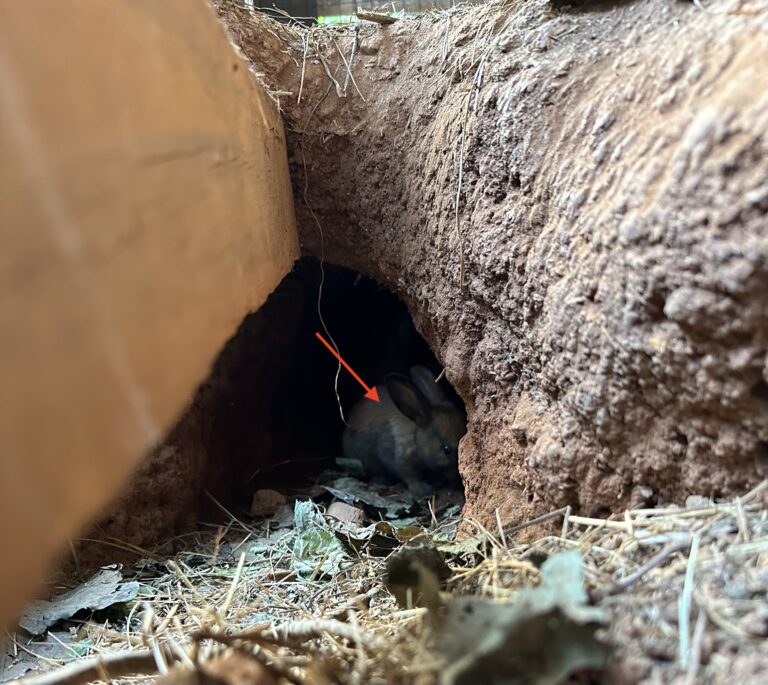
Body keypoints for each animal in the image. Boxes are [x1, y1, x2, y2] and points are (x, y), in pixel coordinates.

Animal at [342, 365, 466, 497]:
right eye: (446, 449)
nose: (459, 476)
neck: (416, 437)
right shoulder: (402, 460)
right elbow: (411, 477)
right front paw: (423, 490)